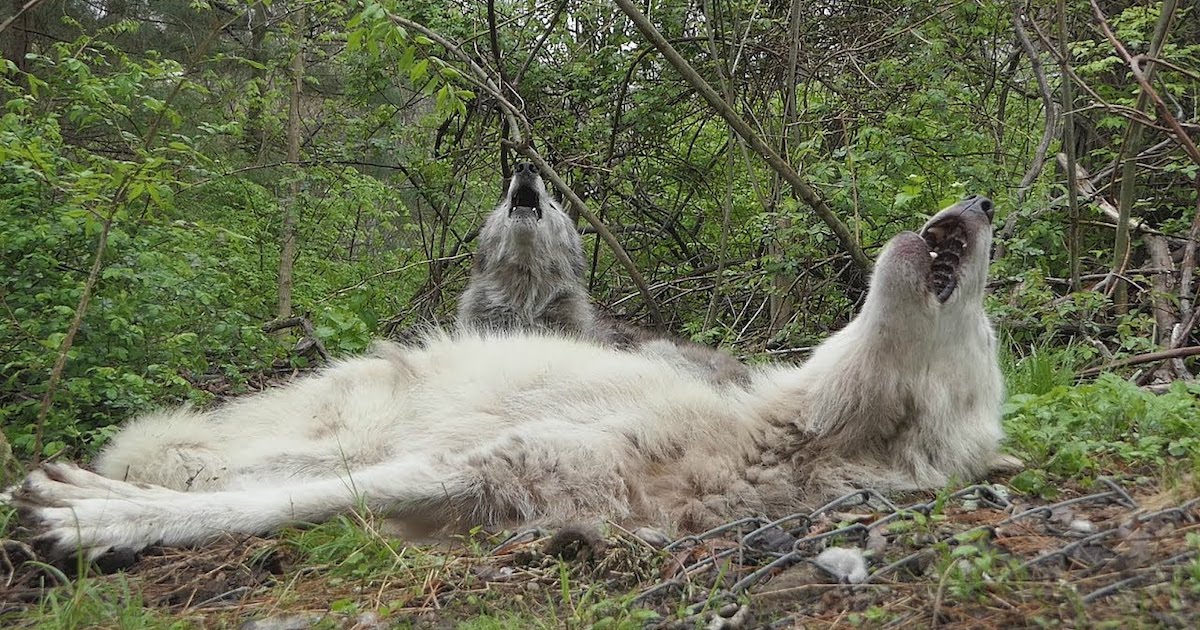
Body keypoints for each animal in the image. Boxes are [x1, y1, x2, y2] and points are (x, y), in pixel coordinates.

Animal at [10, 196, 1014, 560]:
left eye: (988, 339)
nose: (980, 201)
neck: (775, 440)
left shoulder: (492, 480)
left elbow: (292, 504)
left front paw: (92, 517)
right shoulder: (473, 457)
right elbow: (279, 500)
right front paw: (92, 510)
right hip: (345, 417)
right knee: (220, 458)